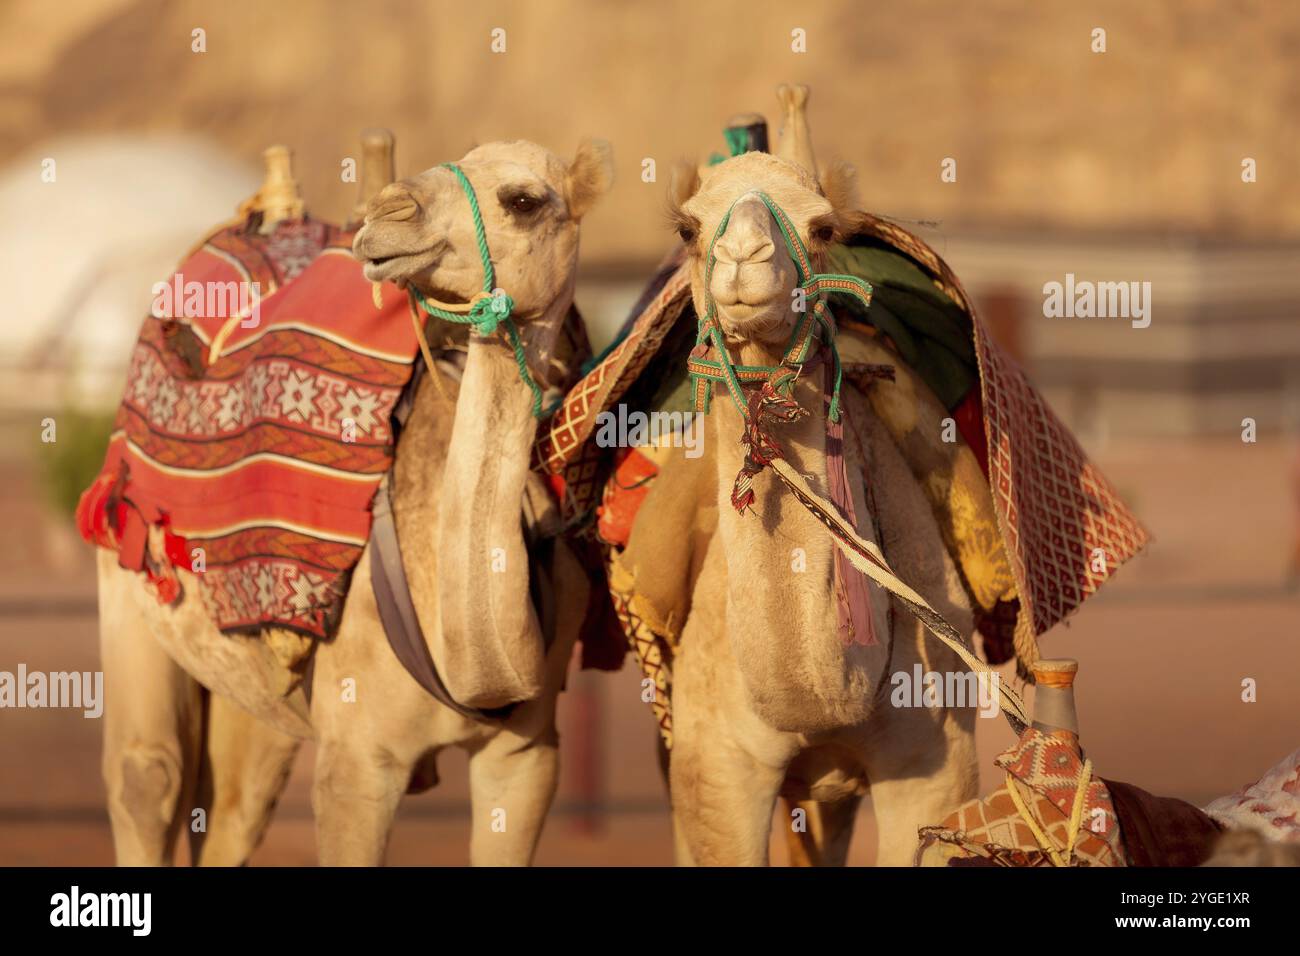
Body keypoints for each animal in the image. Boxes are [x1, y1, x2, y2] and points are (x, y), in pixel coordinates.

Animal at [96, 137, 614, 865]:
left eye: (522, 199)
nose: (389, 212)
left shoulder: (528, 753)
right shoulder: (359, 760)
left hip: (260, 699)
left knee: (235, 807)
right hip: (127, 571)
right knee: (149, 777)